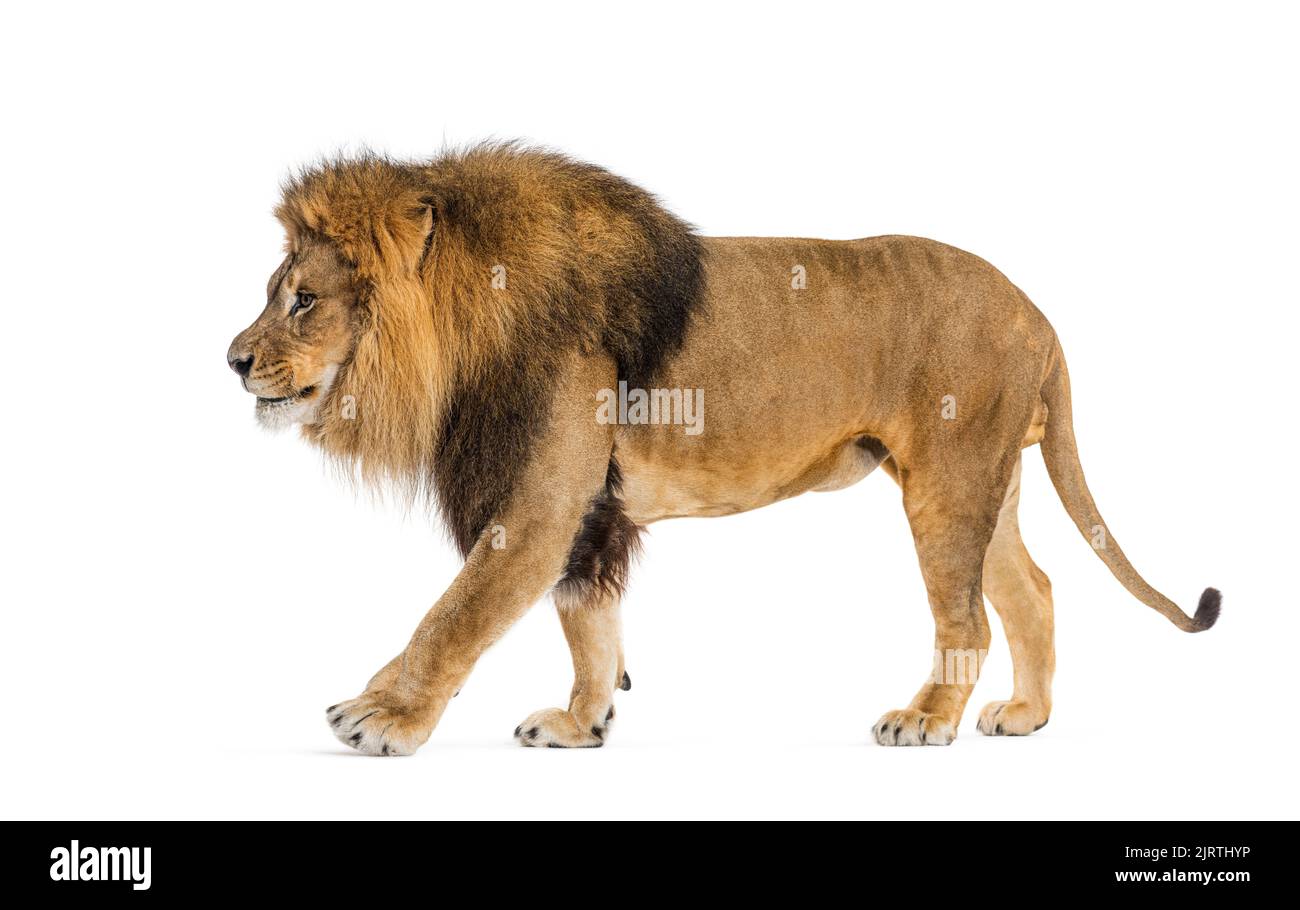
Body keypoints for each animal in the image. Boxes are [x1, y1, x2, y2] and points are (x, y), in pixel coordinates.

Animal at [228, 142, 1220, 753]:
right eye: (278, 292)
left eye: (304, 301)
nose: (232, 361)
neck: (469, 332)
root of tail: (1038, 311)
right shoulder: (587, 513)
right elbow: (588, 624)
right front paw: (582, 724)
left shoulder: (537, 507)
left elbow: (455, 614)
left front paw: (383, 716)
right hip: (986, 482)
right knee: (1032, 588)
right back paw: (1026, 717)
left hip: (947, 481)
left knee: (968, 616)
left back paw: (926, 720)